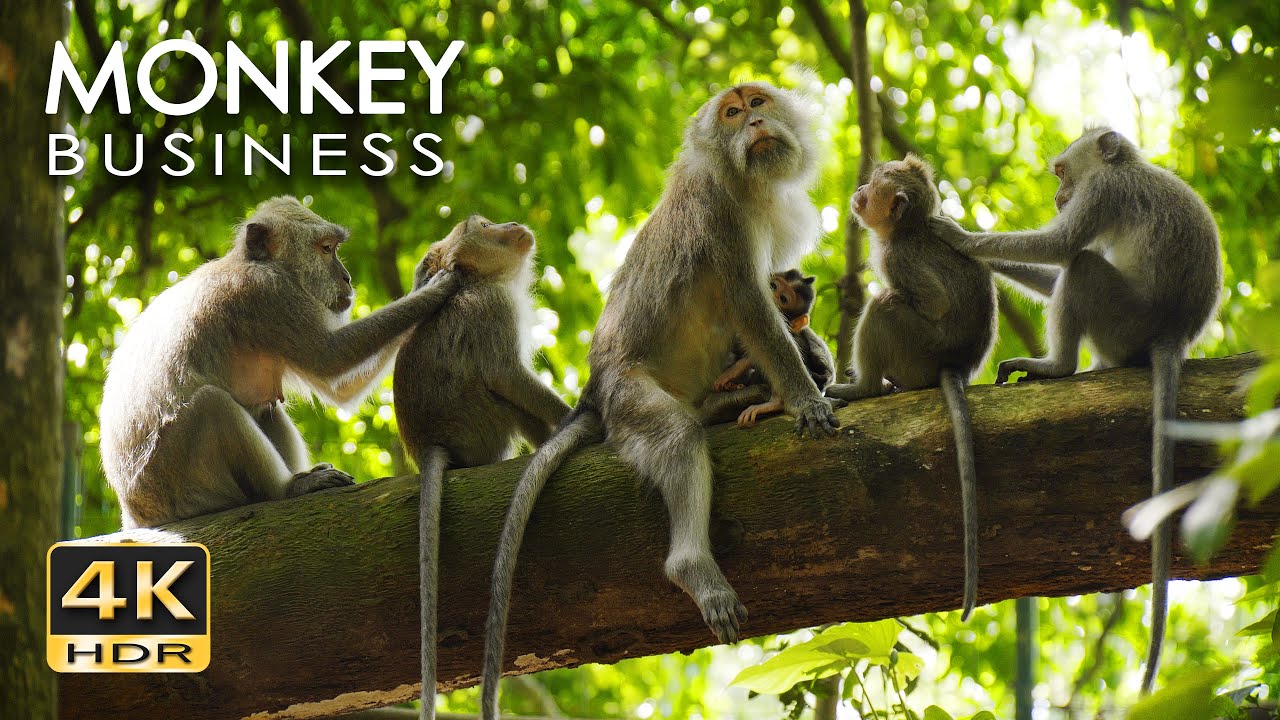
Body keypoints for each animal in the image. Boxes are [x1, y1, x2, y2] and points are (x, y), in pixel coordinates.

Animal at [99, 196, 461, 529]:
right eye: (326, 249)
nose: (346, 277)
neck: (253, 262)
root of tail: (135, 512)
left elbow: (339, 385)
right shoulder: (268, 293)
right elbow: (331, 358)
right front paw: (434, 290)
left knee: (265, 408)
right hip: (179, 484)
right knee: (212, 405)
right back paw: (284, 489)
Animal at [393, 215, 571, 720]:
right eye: (484, 225)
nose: (510, 223)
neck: (479, 280)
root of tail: (430, 445)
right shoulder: (492, 308)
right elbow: (505, 374)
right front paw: (573, 416)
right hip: (478, 424)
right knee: (499, 393)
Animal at [824, 155, 997, 622]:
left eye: (873, 187)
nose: (858, 192)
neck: (904, 230)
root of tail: (954, 365)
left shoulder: (898, 258)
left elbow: (931, 302)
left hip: (915, 352)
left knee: (886, 304)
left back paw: (864, 388)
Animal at [928, 127, 1223, 693]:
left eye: (1063, 173)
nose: (1057, 197)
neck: (1126, 166)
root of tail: (1173, 336)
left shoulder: (1104, 192)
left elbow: (1062, 248)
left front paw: (961, 238)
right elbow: (1054, 265)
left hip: (1123, 321)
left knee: (1084, 268)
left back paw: (1057, 367)